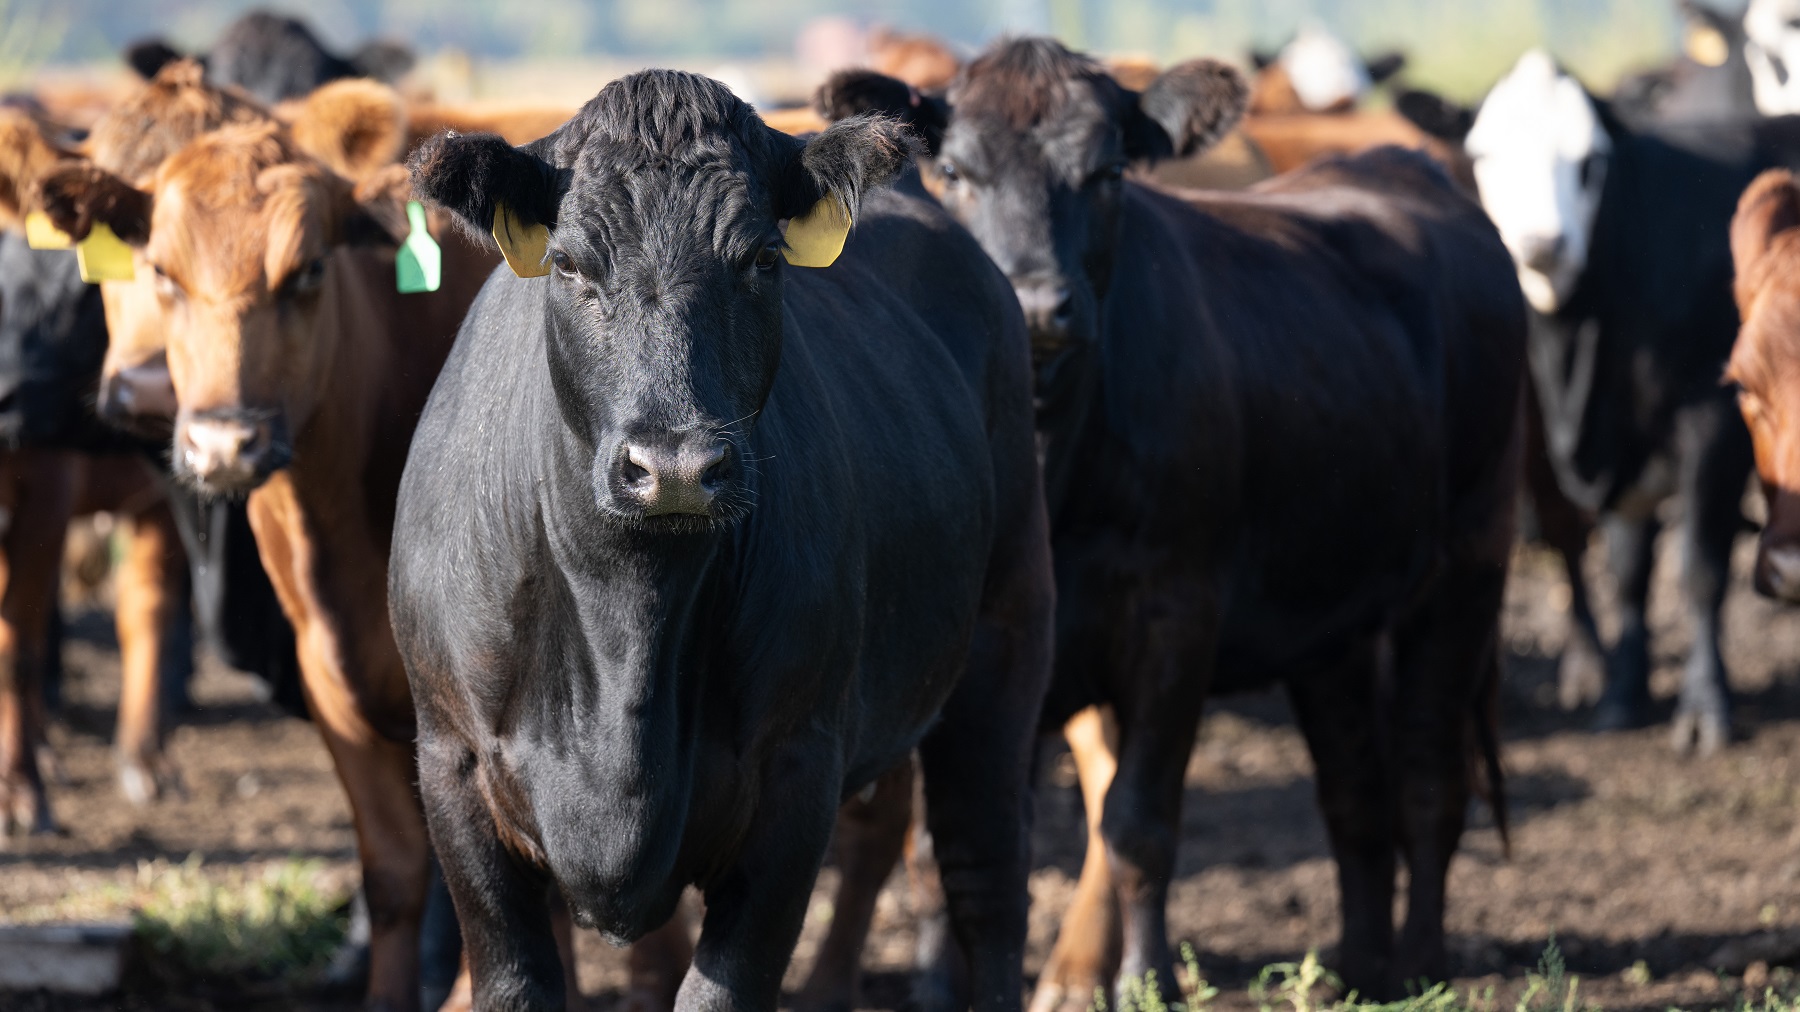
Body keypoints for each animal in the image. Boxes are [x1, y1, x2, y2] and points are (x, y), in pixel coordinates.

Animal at [390, 69, 1053, 1012]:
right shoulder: (452, 765)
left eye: (763, 261)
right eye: (569, 264)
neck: (625, 621)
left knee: (987, 883)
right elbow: (516, 979)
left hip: (1006, 644)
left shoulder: (798, 772)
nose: (674, 466)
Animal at [821, 35, 1523, 1006]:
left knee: (1427, 778)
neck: (1060, 460)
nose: (1035, 304)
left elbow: (1136, 824)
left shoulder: (1175, 619)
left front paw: (1144, 979)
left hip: (1467, 567)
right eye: (953, 170)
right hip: (1334, 621)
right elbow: (945, 841)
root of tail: (1403, 164)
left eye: (1110, 171)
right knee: (1353, 791)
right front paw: (933, 989)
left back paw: (1420, 963)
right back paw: (1359, 968)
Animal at [1399, 51, 1779, 753]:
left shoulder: (1716, 426)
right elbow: (1628, 570)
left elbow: (1699, 569)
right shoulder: (1604, 452)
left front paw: (1705, 705)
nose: (1542, 245)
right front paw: (1623, 695)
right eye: (1484, 155)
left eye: (1590, 160)